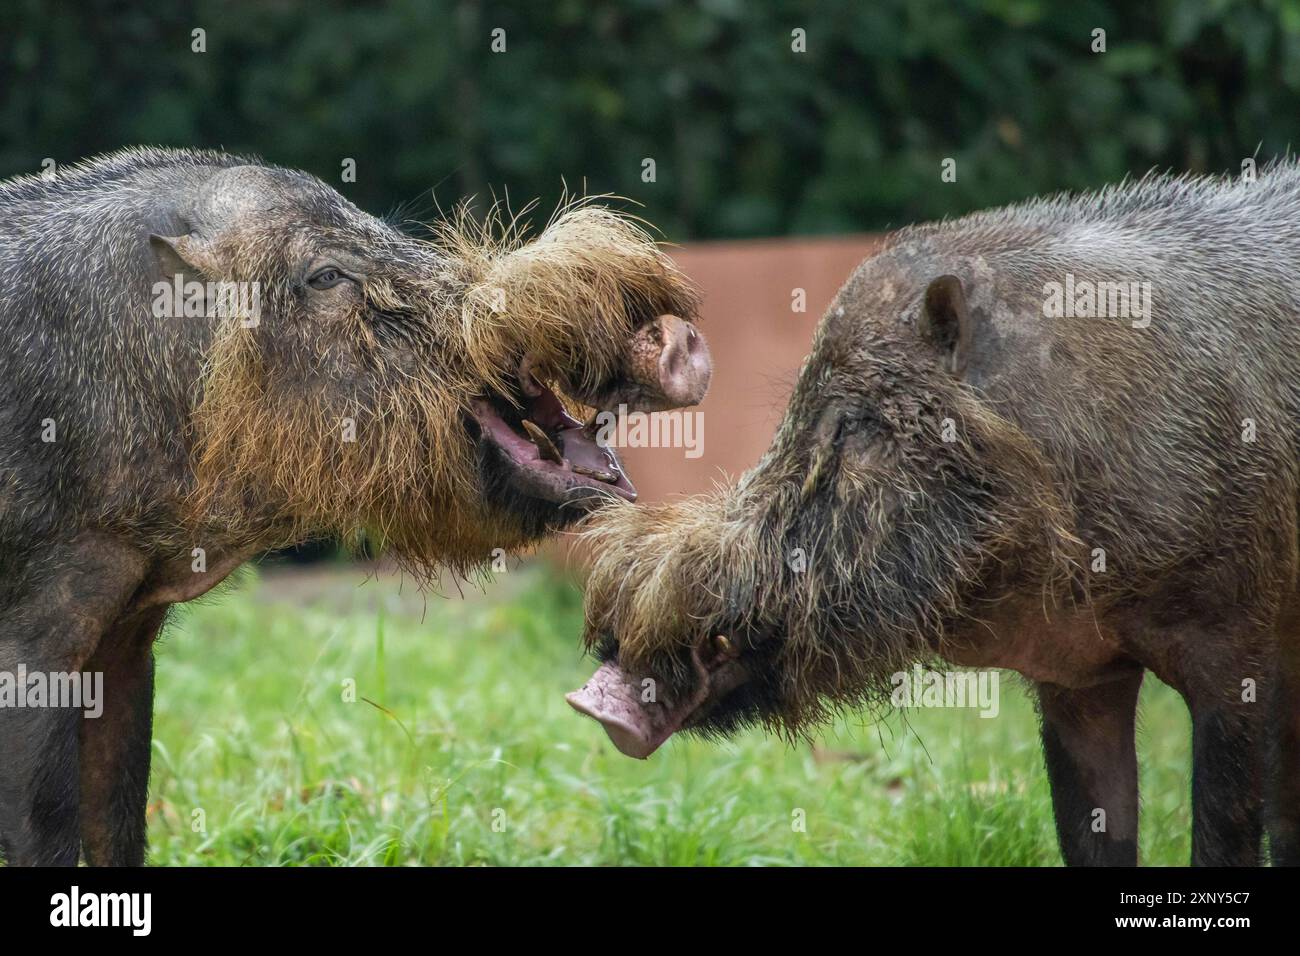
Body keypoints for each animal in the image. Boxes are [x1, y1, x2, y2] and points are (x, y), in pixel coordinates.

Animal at [0, 147, 710, 865]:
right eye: (326, 276)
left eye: (381, 228)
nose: (675, 336)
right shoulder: (36, 631)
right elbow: (49, 823)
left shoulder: (128, 643)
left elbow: (121, 815)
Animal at [570, 164, 1300, 866]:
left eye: (856, 424)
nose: (593, 703)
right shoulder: (1077, 674)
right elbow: (1093, 833)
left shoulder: (1237, 649)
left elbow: (1224, 833)